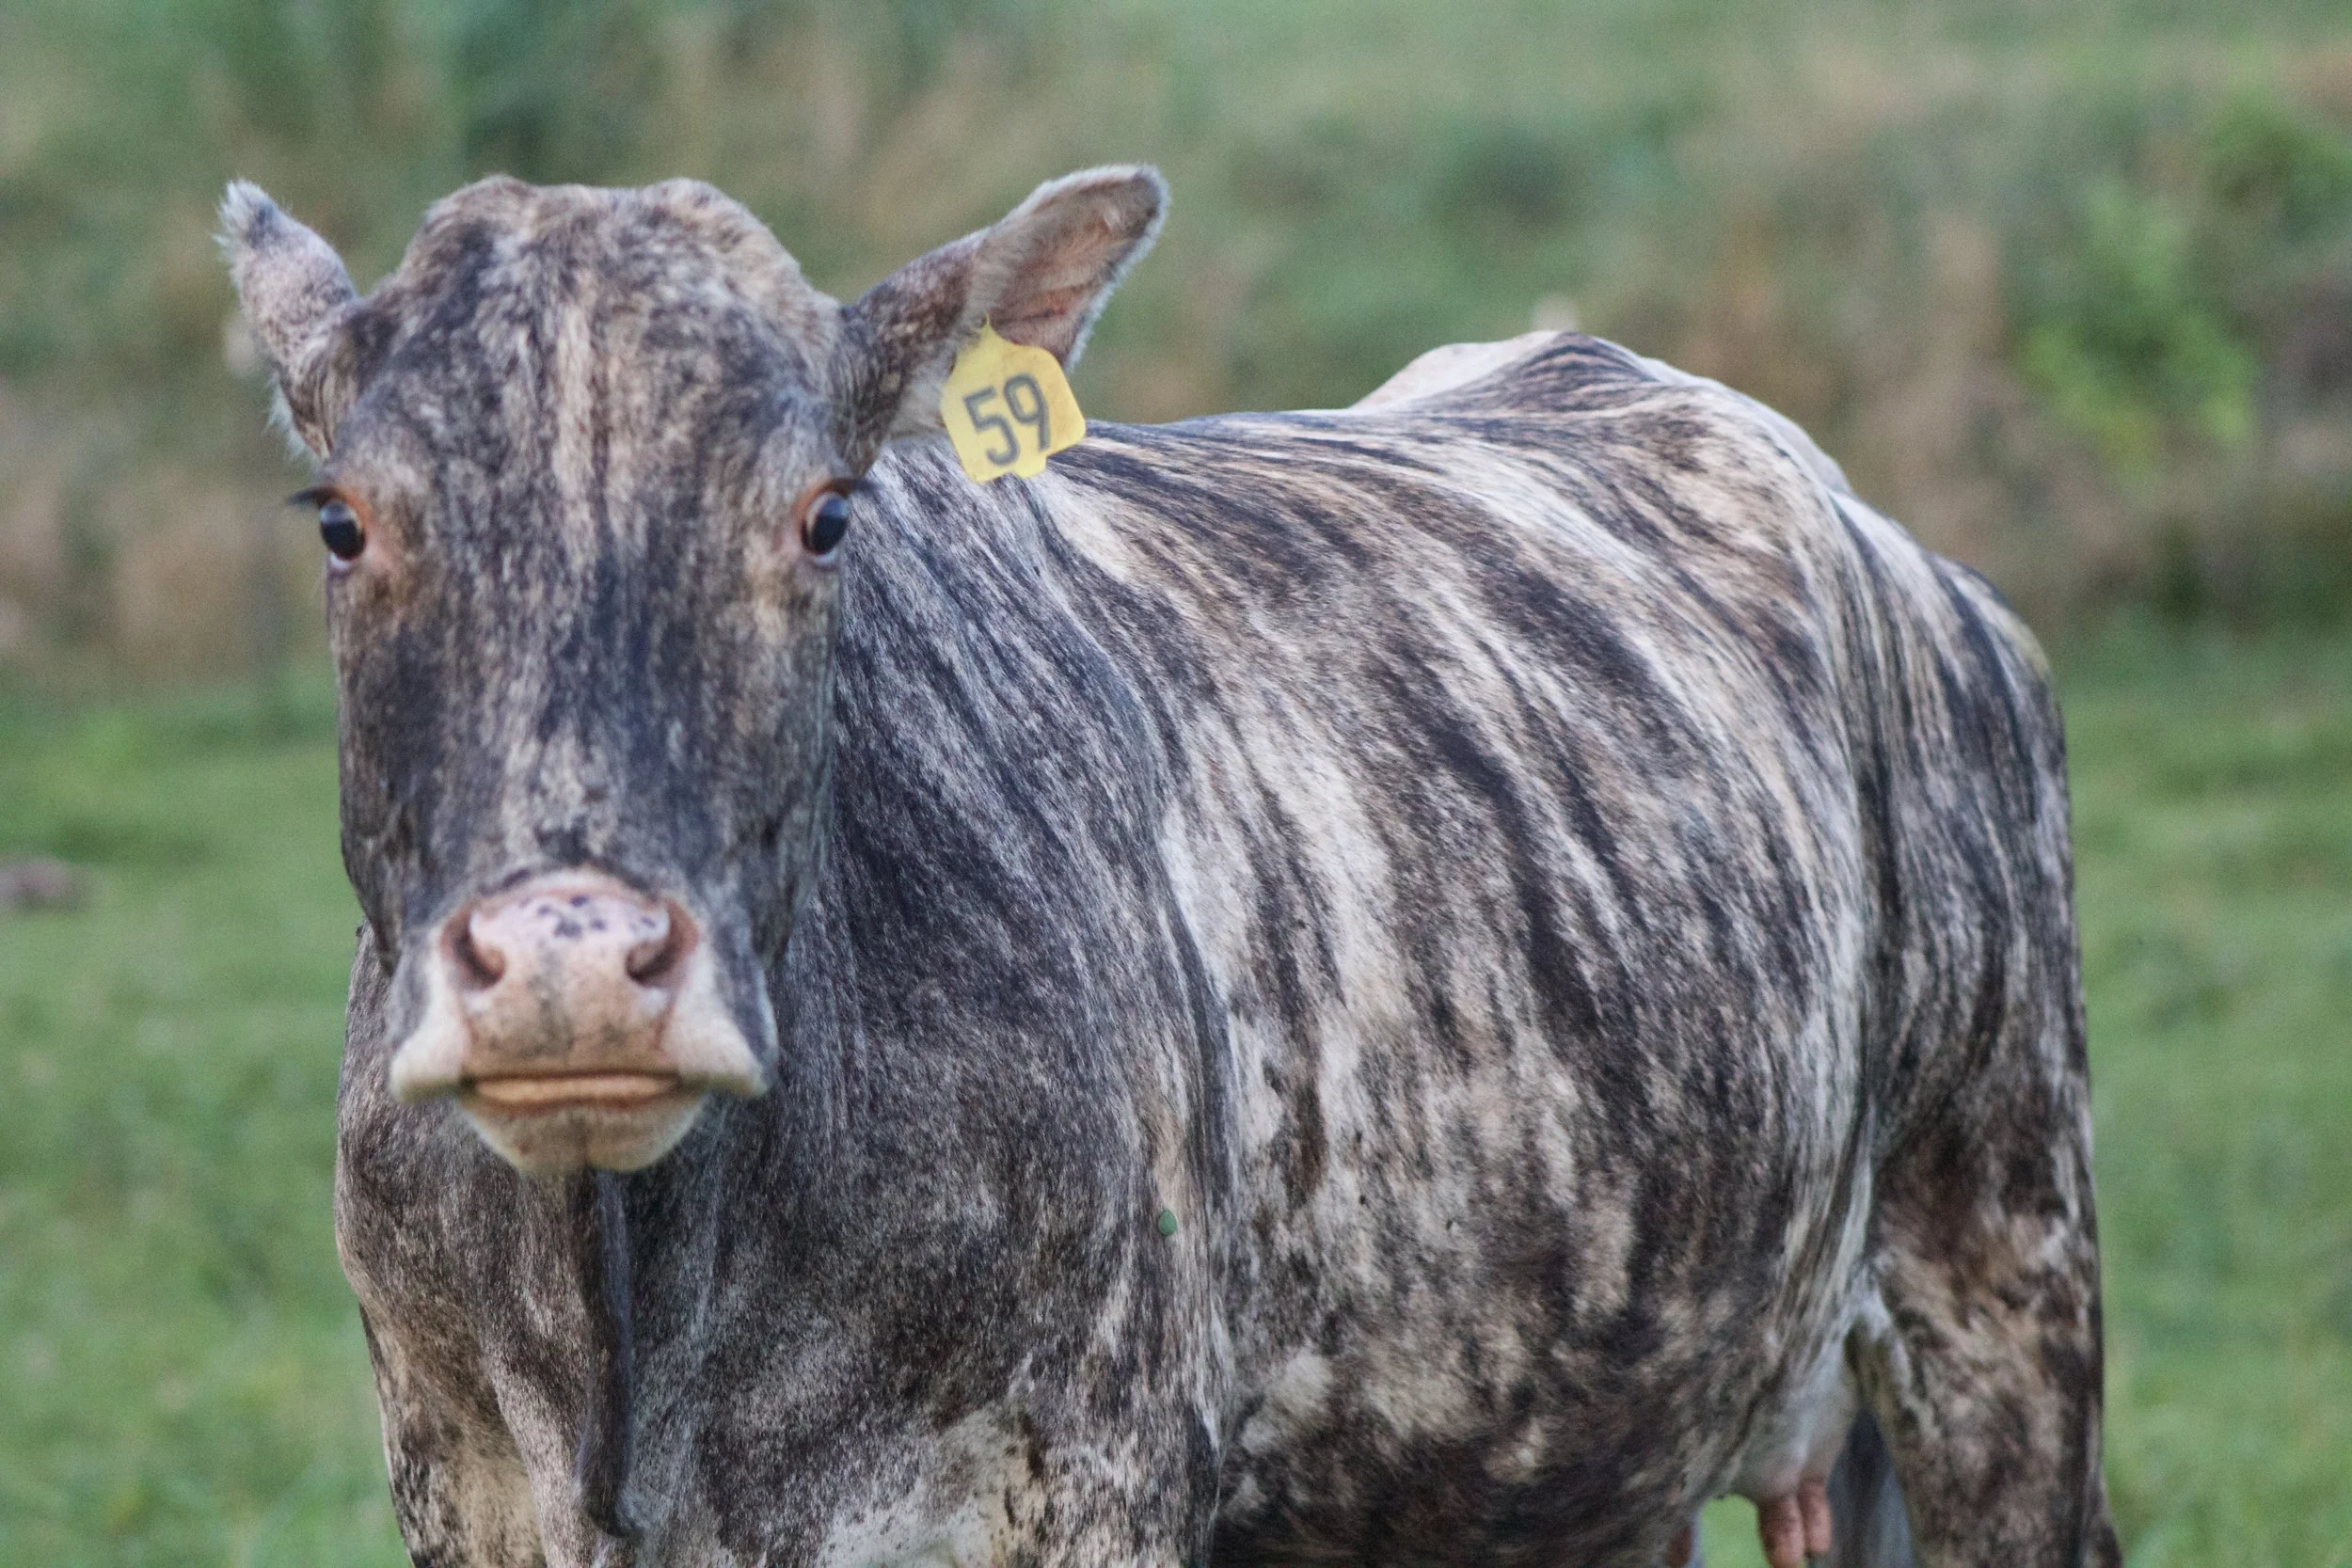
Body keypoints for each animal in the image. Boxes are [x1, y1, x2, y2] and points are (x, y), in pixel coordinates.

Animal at [220, 164, 2120, 1568]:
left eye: (826, 513)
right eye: (343, 517)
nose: (567, 958)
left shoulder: (1092, 1477)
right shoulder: (457, 1474)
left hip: (2006, 1272)